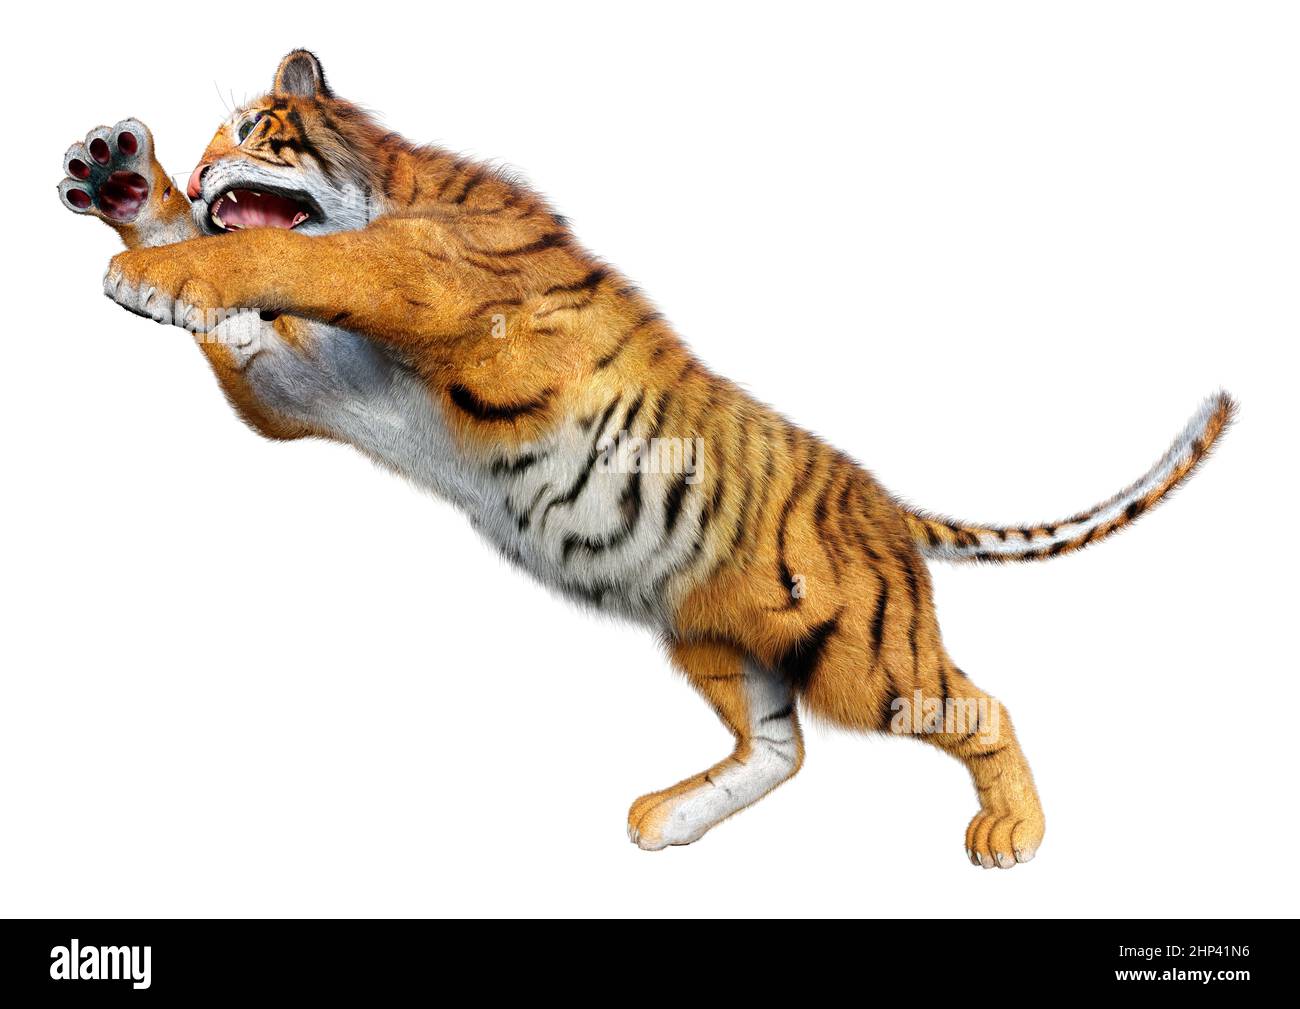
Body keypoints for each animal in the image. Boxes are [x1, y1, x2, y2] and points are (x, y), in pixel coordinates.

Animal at [59, 50, 1234, 866]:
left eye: (252, 131)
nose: (196, 164)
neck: (394, 181)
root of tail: (887, 505)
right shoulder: (309, 391)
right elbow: (243, 302)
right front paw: (125, 189)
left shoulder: (442, 286)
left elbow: (309, 255)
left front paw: (156, 256)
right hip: (715, 634)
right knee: (780, 747)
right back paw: (667, 817)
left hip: (867, 658)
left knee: (979, 709)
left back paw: (1013, 835)